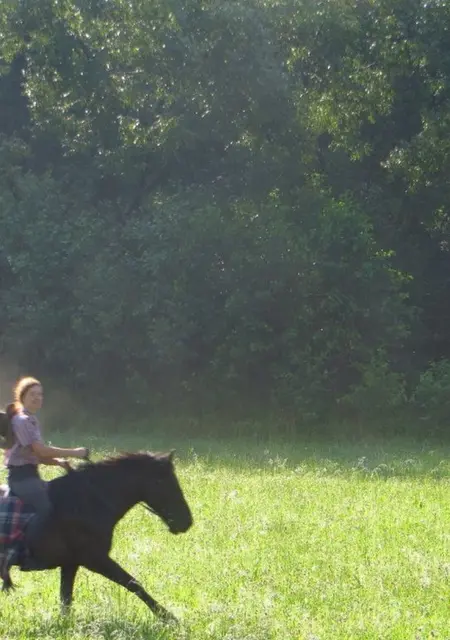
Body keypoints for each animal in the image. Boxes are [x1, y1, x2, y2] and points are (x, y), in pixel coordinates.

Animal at [1, 451, 193, 621]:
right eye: (161, 481)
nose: (186, 521)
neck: (85, 502)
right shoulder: (96, 559)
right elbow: (133, 584)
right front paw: (168, 618)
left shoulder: (71, 564)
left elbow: (65, 599)